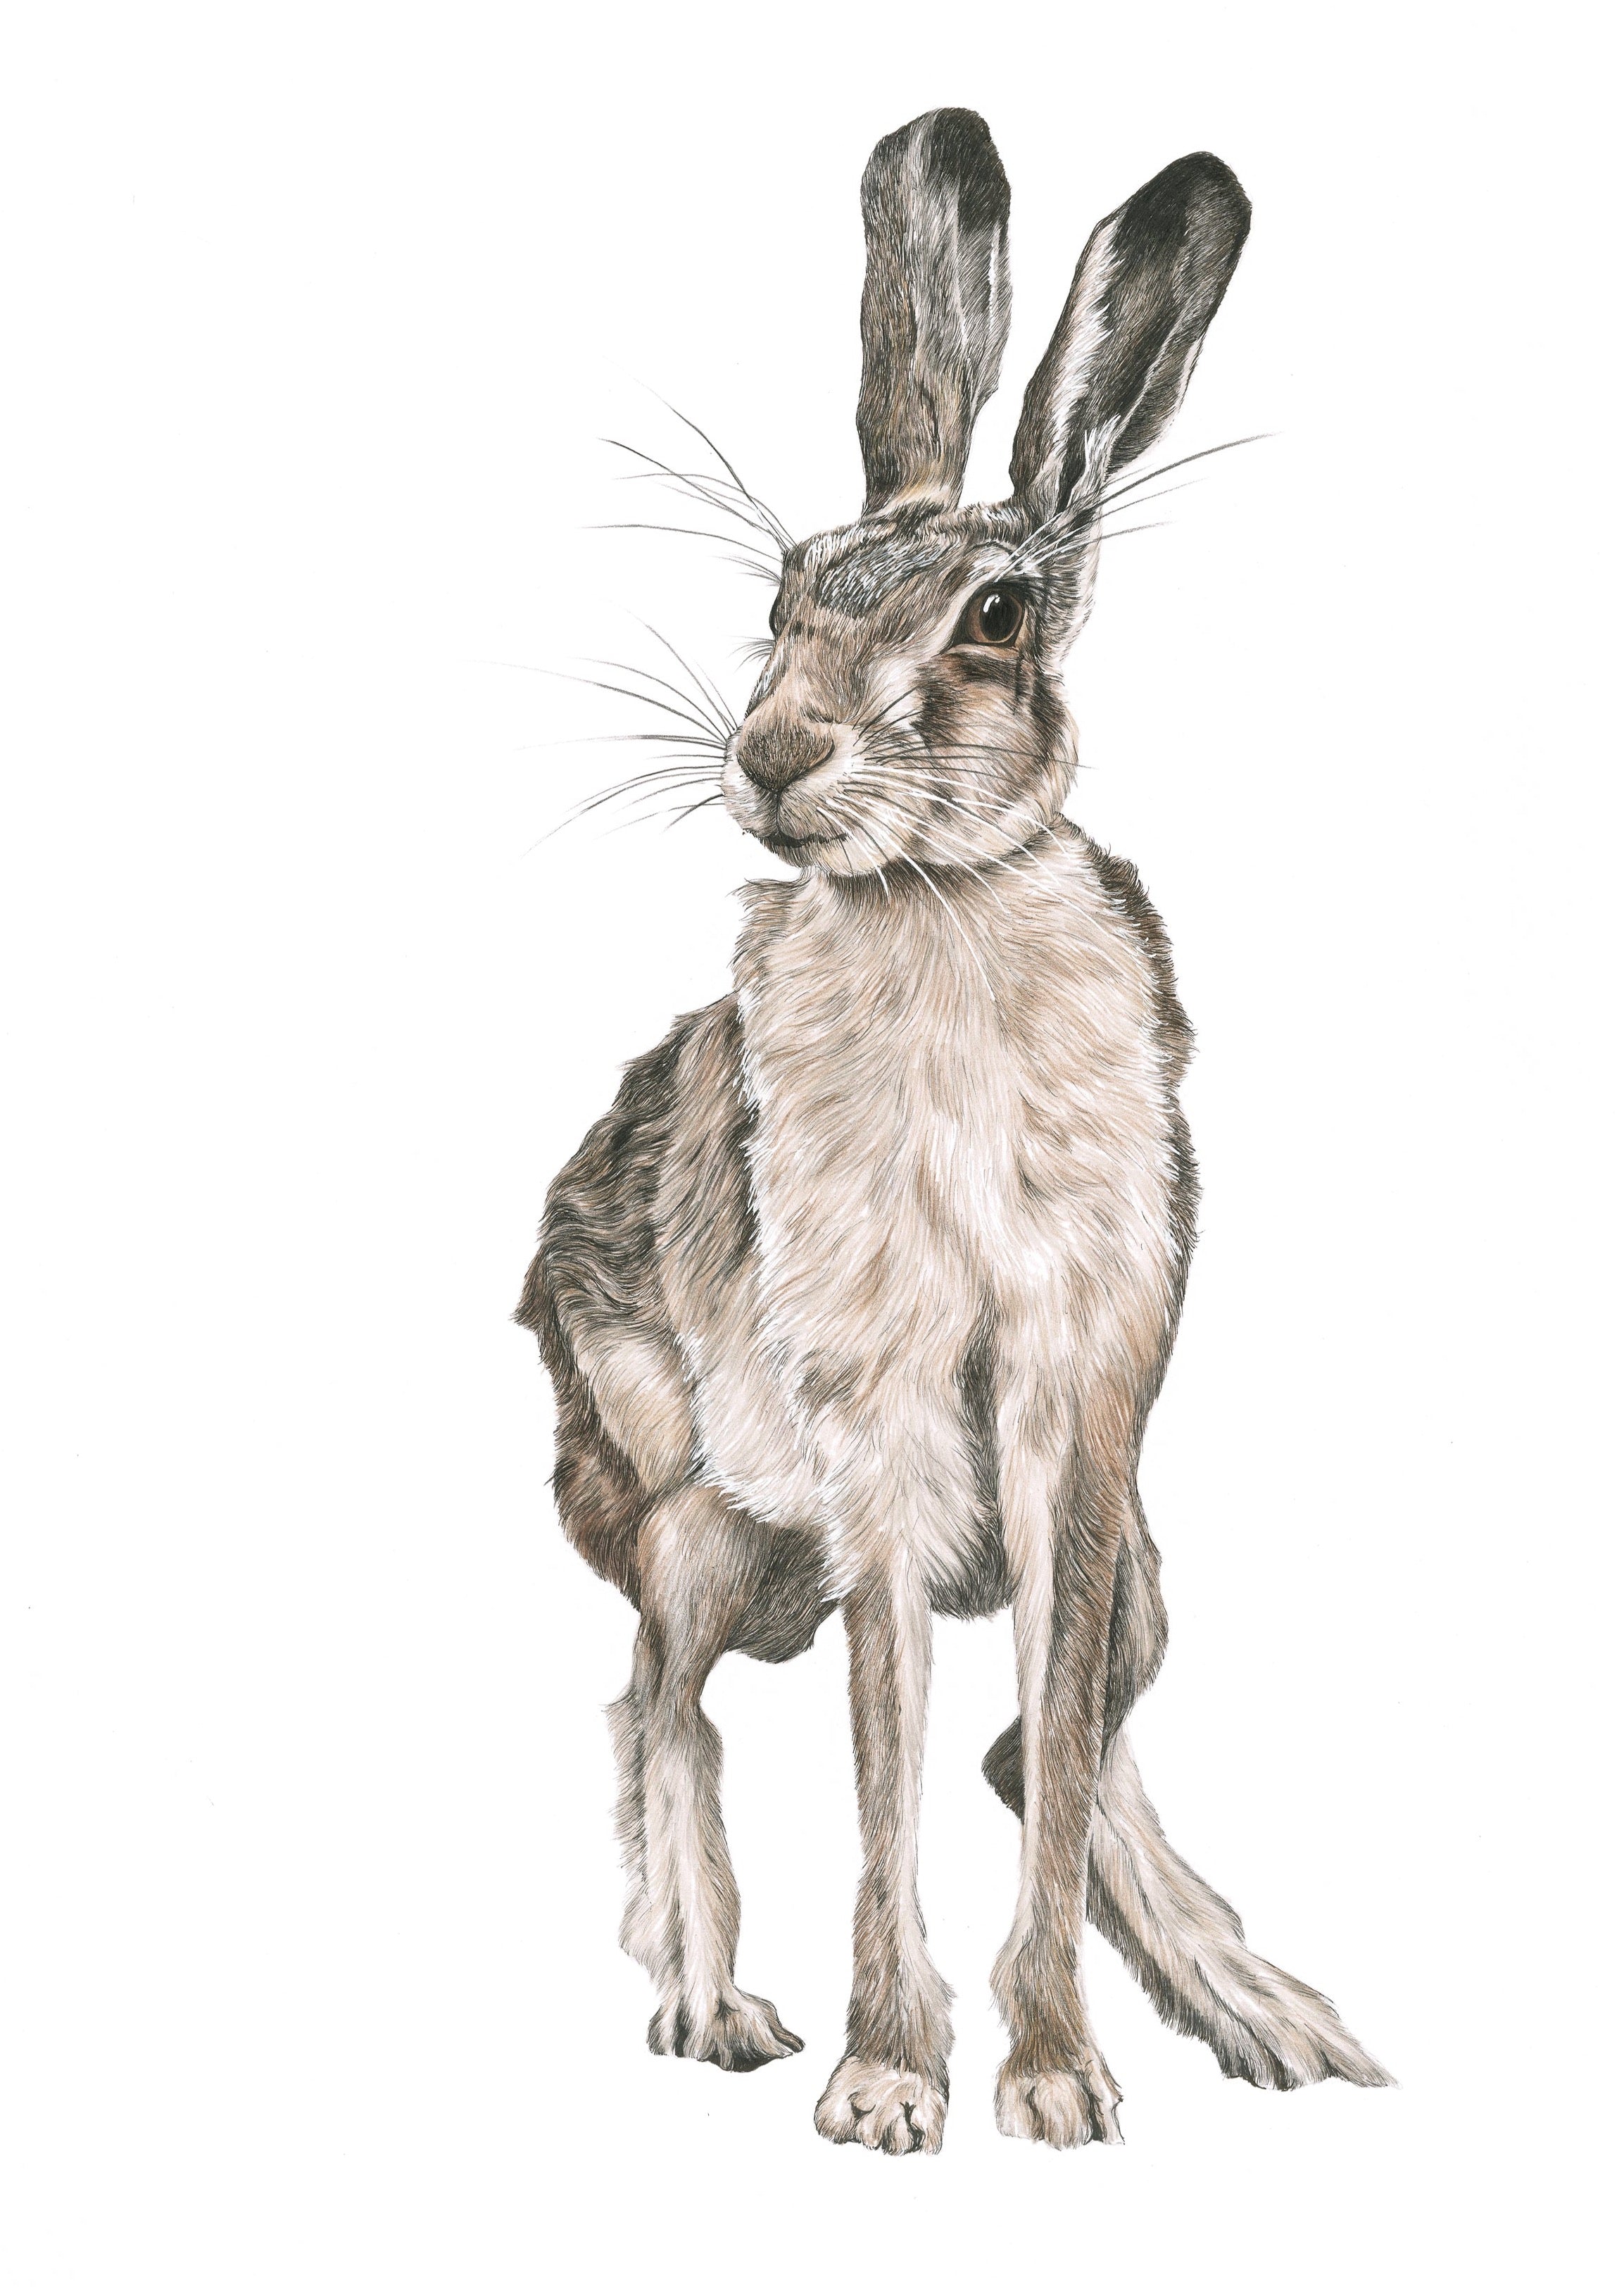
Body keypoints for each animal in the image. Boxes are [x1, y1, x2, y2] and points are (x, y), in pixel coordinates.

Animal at [518, 107, 1390, 2154]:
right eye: (781, 592)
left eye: (993, 621)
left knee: (1041, 1742)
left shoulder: (1080, 1424)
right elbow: (883, 1756)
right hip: (691, 1525)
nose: (772, 758)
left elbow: (1040, 1754)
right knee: (663, 1712)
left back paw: (1265, 2011)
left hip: (1135, 1561)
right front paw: (886, 2088)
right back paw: (716, 2009)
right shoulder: (884, 1436)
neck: (936, 895)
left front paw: (1056, 2081)